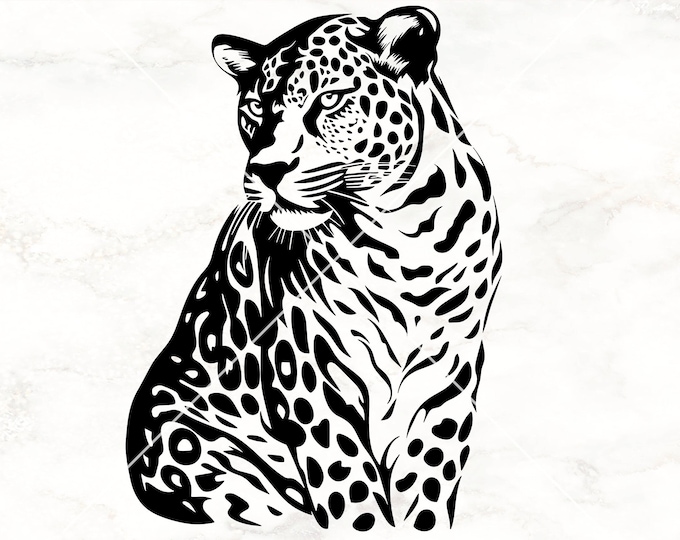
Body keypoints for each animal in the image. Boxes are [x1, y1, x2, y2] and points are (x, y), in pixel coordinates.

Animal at [126, 7, 502, 532]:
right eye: (256, 109)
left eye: (329, 100)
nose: (266, 171)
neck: (404, 233)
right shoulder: (309, 376)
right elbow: (351, 490)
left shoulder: (449, 372)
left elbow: (428, 481)